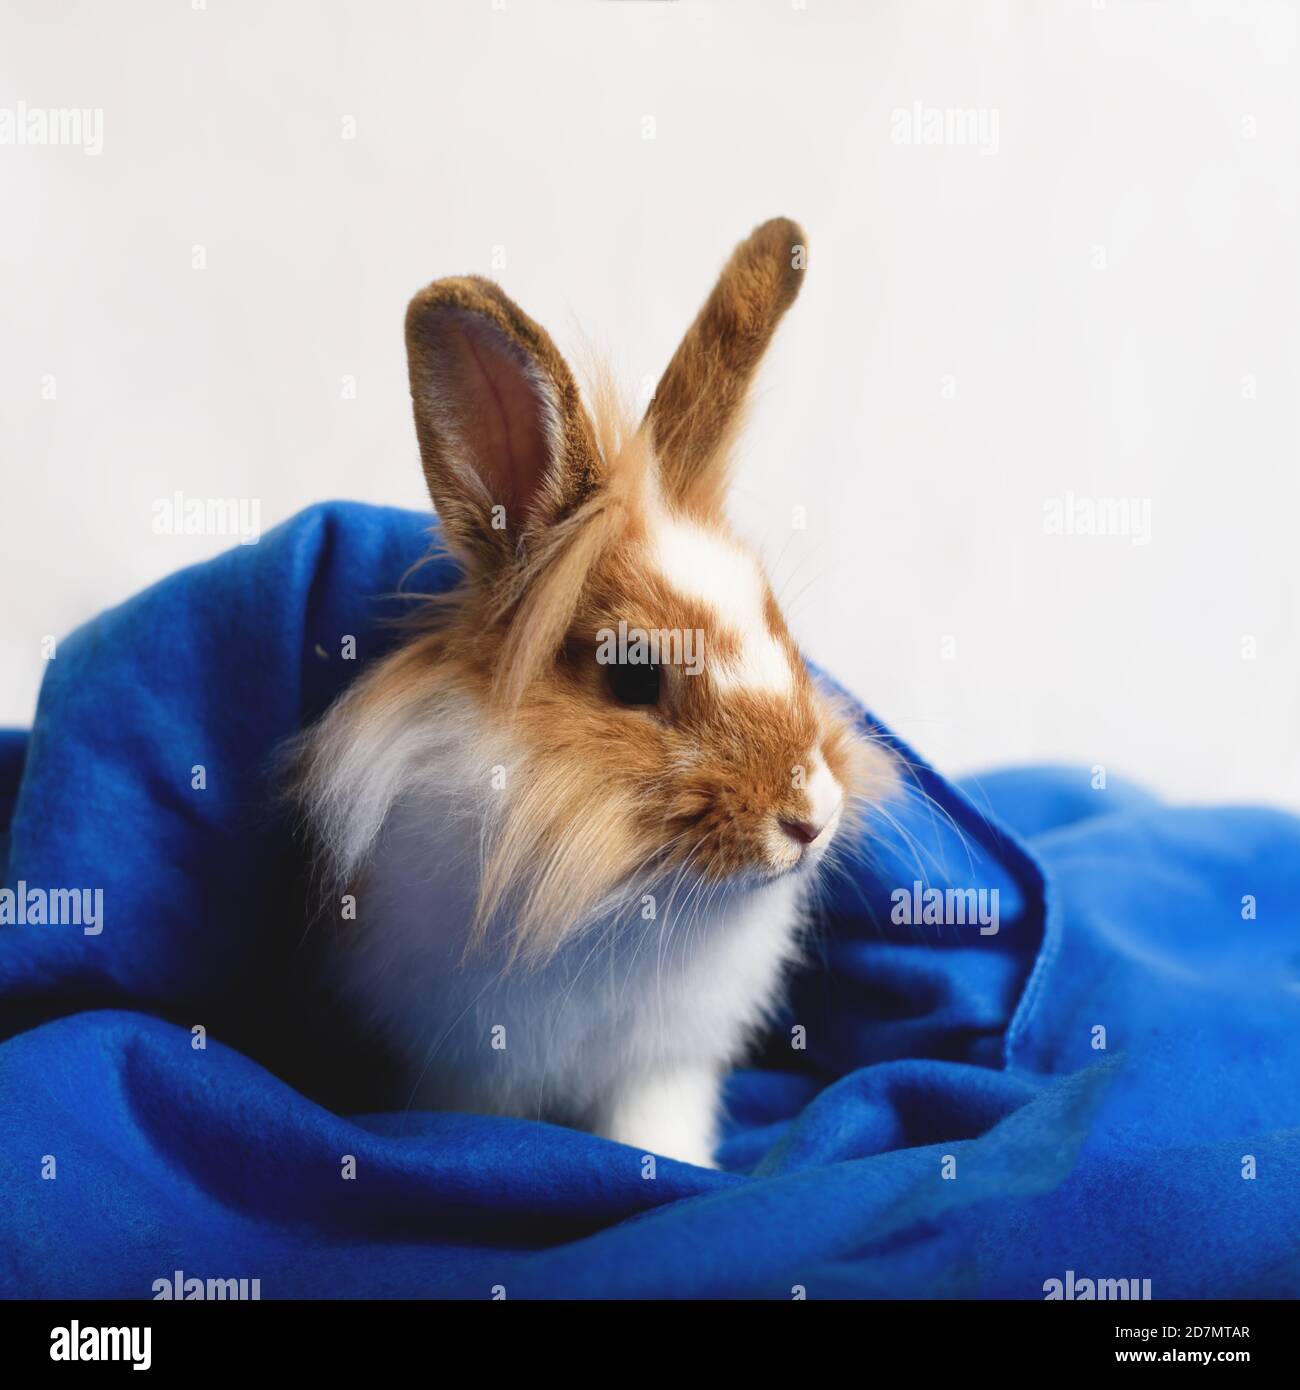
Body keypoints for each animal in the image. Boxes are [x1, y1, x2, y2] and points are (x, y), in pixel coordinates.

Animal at [293, 218, 897, 1168]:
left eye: (781, 630)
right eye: (632, 673)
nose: (810, 818)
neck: (621, 894)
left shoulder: (665, 1070)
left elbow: (654, 1132)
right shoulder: (465, 1063)